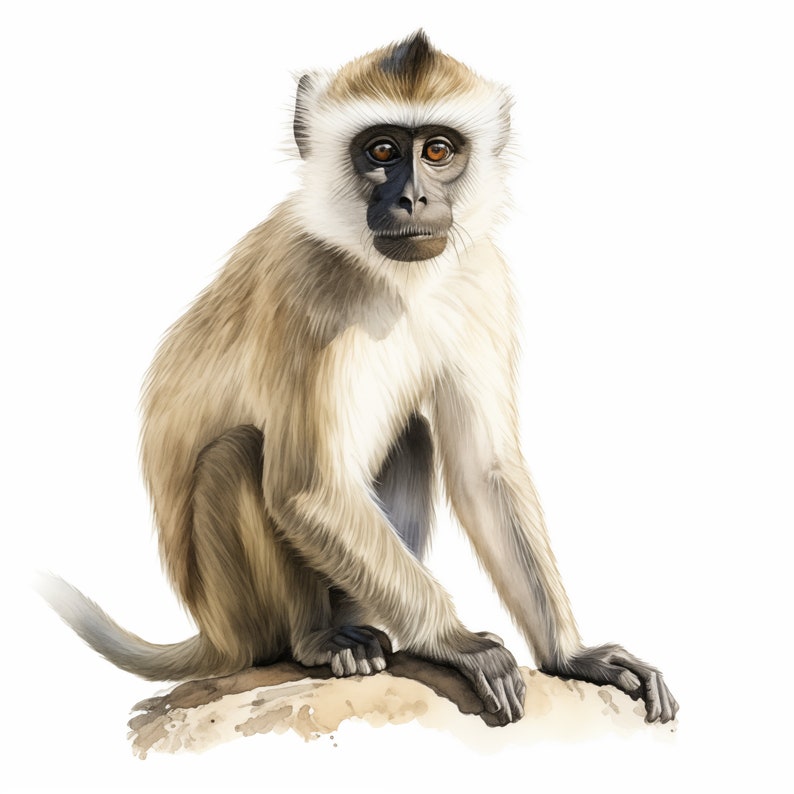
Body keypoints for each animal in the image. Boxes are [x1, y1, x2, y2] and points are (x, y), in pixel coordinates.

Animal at [40, 31, 678, 727]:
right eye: (382, 151)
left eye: (437, 150)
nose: (412, 199)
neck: (392, 279)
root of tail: (214, 634)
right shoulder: (302, 284)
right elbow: (306, 489)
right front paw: (456, 641)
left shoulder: (481, 278)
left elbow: (483, 471)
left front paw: (573, 655)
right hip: (240, 613)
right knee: (241, 456)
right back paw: (318, 641)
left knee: (413, 438)